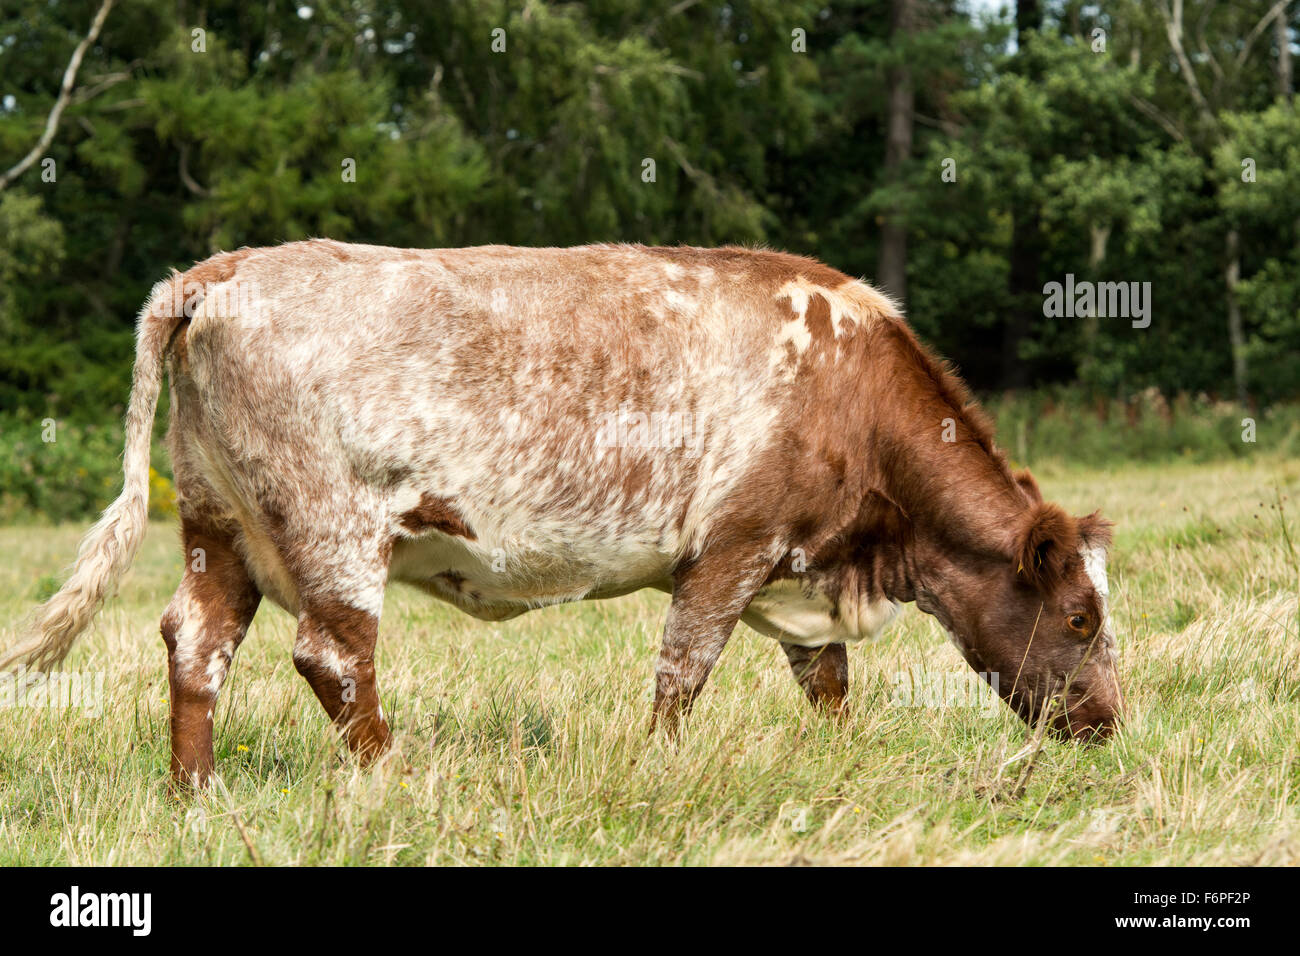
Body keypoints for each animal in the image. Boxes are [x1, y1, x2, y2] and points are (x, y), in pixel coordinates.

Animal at [1, 240, 1122, 787]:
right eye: (1080, 616)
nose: (1109, 723)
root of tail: (218, 271)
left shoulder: (798, 570)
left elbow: (826, 679)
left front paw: (841, 756)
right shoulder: (734, 545)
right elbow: (683, 672)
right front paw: (661, 767)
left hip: (214, 523)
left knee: (197, 645)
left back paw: (195, 793)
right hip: (332, 527)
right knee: (332, 656)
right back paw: (397, 778)